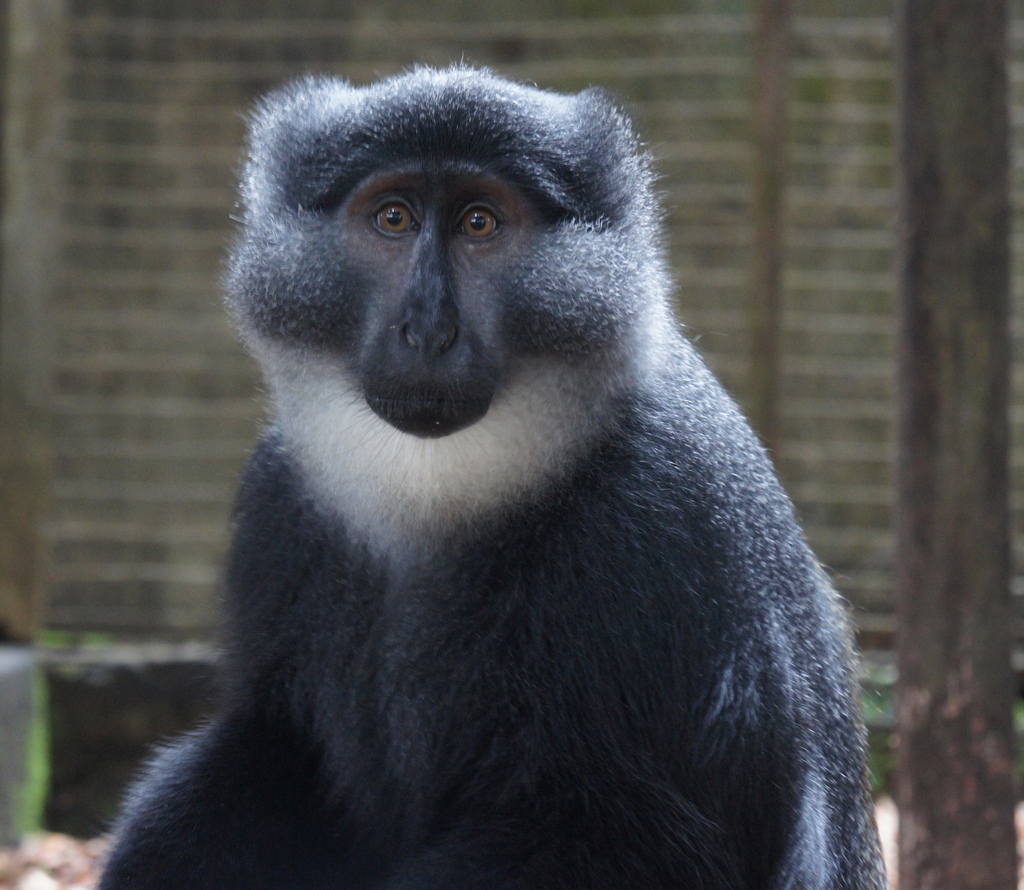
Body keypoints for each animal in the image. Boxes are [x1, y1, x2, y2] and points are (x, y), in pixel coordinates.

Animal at [98, 66, 888, 889]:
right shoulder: (280, 501)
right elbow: (274, 749)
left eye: (479, 224)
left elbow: (650, 841)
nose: (428, 328)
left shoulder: (667, 522)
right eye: (393, 217)